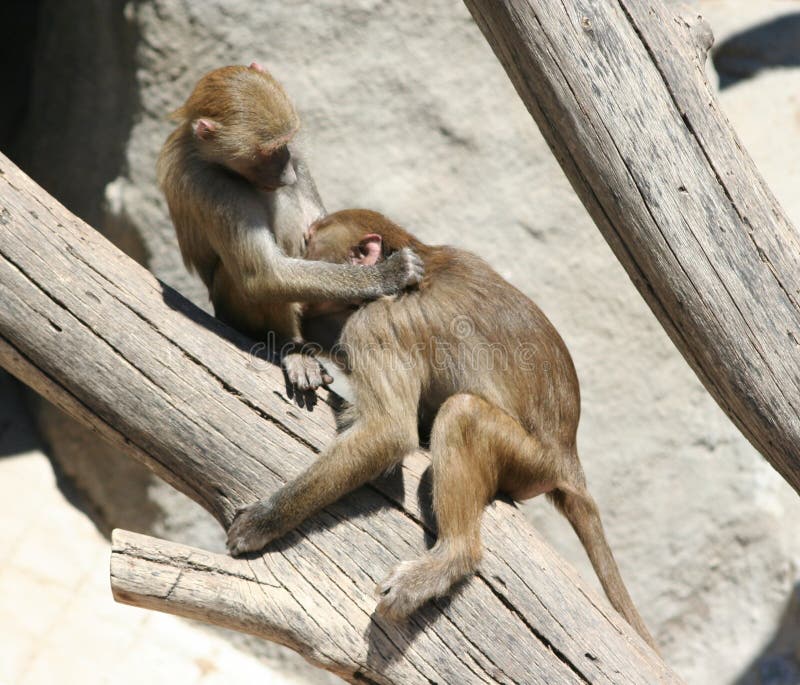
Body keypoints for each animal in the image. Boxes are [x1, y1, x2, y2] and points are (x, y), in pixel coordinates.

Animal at [157, 64, 423, 403]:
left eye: (287, 142)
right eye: (267, 152)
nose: (287, 174)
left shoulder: (298, 159)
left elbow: (319, 224)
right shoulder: (213, 186)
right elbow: (263, 276)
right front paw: (389, 274)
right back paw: (290, 346)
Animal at [226, 209, 657, 649]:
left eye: (309, 239)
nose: (298, 252)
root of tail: (569, 460)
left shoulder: (375, 323)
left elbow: (389, 432)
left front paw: (263, 522)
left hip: (531, 464)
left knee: (462, 414)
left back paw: (450, 559)